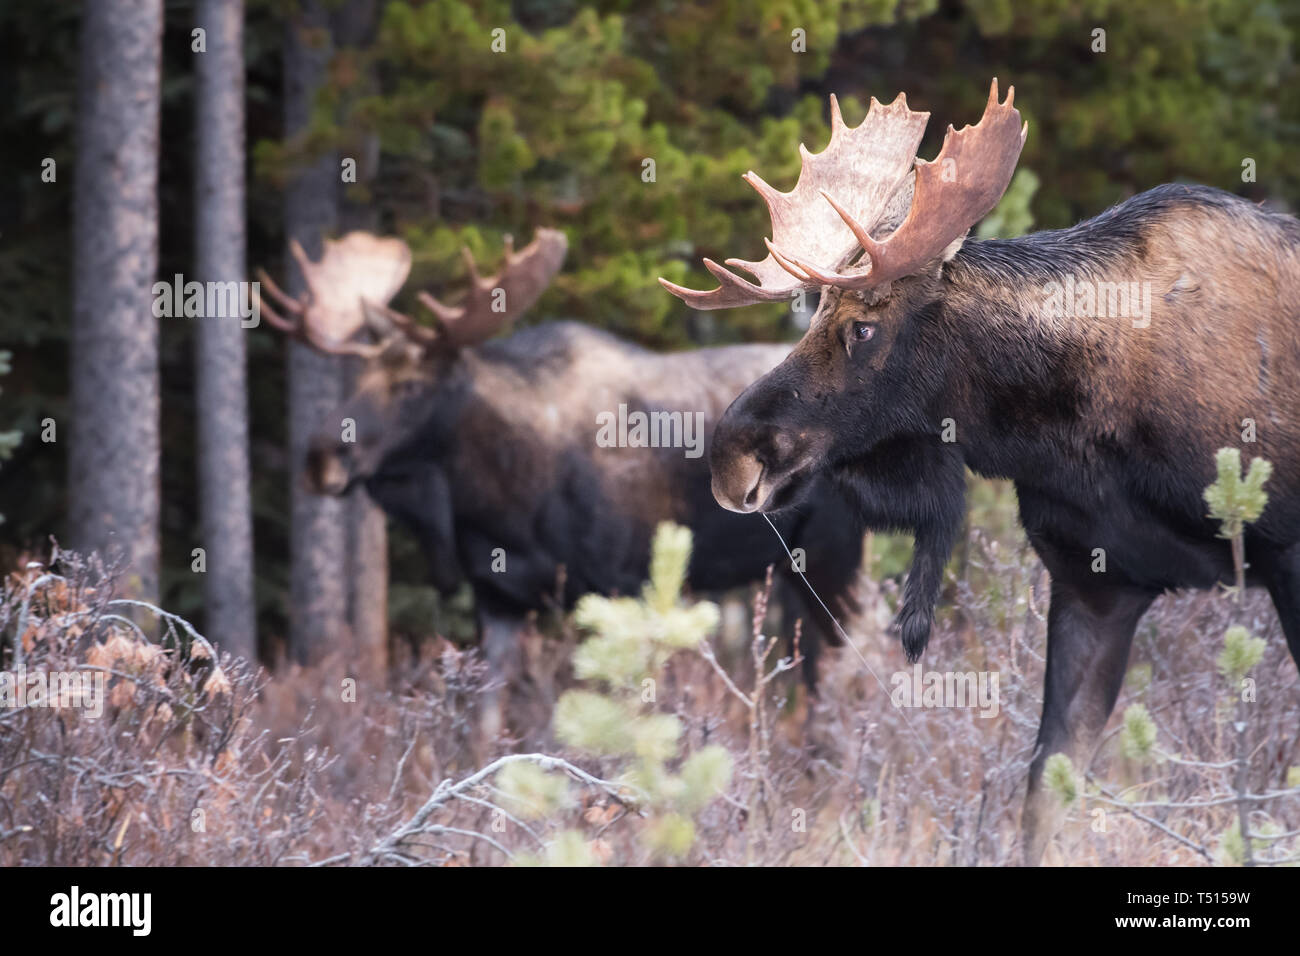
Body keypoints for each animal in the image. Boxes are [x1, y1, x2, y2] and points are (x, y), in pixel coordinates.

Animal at [660, 78, 1300, 863]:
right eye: (811, 317)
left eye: (864, 326)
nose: (730, 455)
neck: (1082, 439)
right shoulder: (1096, 585)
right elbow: (1044, 795)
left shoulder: (1289, 556)